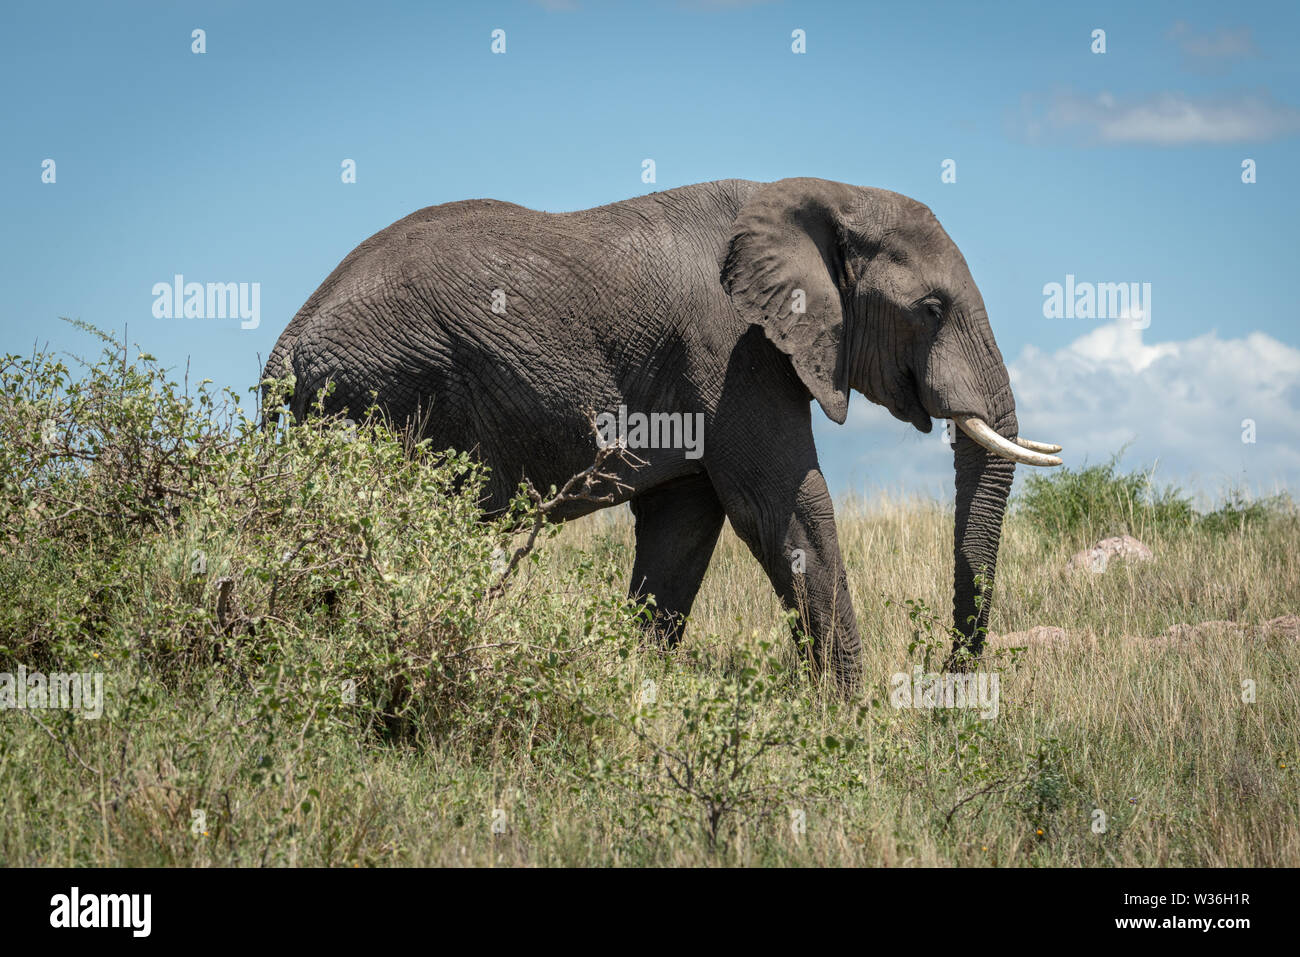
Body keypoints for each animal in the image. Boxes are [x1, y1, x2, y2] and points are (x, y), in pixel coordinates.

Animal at [263, 178, 1062, 690]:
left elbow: (683, 528)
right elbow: (784, 507)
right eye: (930, 308)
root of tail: (286, 346)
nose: (949, 685)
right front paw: (850, 716)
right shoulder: (732, 349)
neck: (818, 193)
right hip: (386, 391)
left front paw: (641, 685)